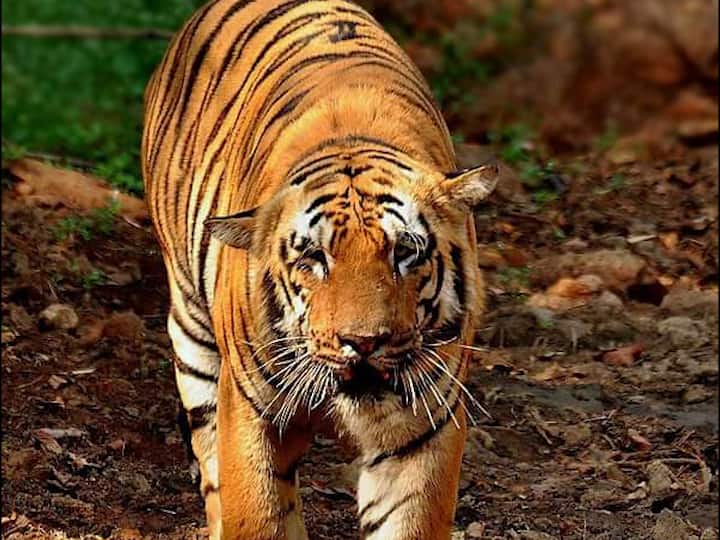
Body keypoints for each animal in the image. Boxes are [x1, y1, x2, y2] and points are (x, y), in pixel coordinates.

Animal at [141, 0, 498, 538]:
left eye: (406, 252)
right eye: (314, 258)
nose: (364, 343)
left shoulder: (423, 426)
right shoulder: (249, 413)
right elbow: (256, 513)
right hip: (192, 334)